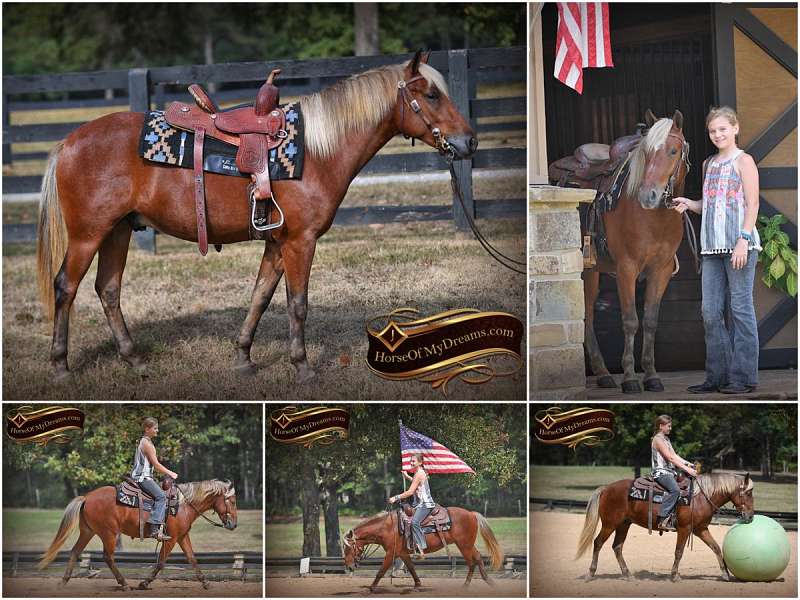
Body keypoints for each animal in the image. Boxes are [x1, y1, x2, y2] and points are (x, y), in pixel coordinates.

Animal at [36, 51, 476, 383]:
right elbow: (297, 303)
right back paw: (60, 366)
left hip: (117, 232)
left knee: (108, 290)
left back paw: (133, 358)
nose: (469, 142)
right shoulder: (301, 241)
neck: (316, 151)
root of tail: (68, 142)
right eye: (431, 95)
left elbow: (260, 297)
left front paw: (243, 357)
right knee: (65, 287)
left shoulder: (277, 243)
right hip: (88, 234)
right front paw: (302, 367)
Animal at [38, 479, 237, 590]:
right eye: (233, 501)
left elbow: (192, 559)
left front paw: (205, 583)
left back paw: (63, 582)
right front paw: (144, 583)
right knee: (108, 557)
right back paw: (124, 584)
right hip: (108, 533)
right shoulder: (171, 539)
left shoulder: (182, 537)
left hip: (88, 531)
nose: (234, 524)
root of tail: (87, 497)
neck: (183, 505)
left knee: (75, 551)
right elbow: (161, 562)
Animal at [342, 506, 503, 592]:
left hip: (464, 545)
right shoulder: (402, 553)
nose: (349, 567)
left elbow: (381, 571)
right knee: (477, 557)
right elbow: (411, 568)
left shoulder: (391, 553)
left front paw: (372, 588)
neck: (387, 527)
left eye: (348, 548)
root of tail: (471, 513)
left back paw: (468, 585)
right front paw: (418, 585)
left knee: (472, 561)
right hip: (467, 544)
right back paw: (487, 581)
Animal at [576, 472, 754, 582]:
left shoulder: (700, 529)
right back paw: (590, 573)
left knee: (617, 547)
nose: (751, 516)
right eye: (748, 493)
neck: (701, 497)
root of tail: (606, 488)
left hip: (623, 524)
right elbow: (679, 552)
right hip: (610, 524)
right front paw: (675, 576)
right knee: (598, 543)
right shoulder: (684, 529)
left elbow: (716, 547)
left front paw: (725, 574)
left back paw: (628, 575)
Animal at [583, 109, 691, 393]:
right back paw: (603, 372)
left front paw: (651, 375)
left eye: (674, 151)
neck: (655, 218)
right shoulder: (626, 268)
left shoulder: (661, 270)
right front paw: (630, 377)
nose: (648, 195)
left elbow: (651, 321)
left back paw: (602, 374)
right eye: (646, 152)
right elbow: (630, 320)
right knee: (586, 315)